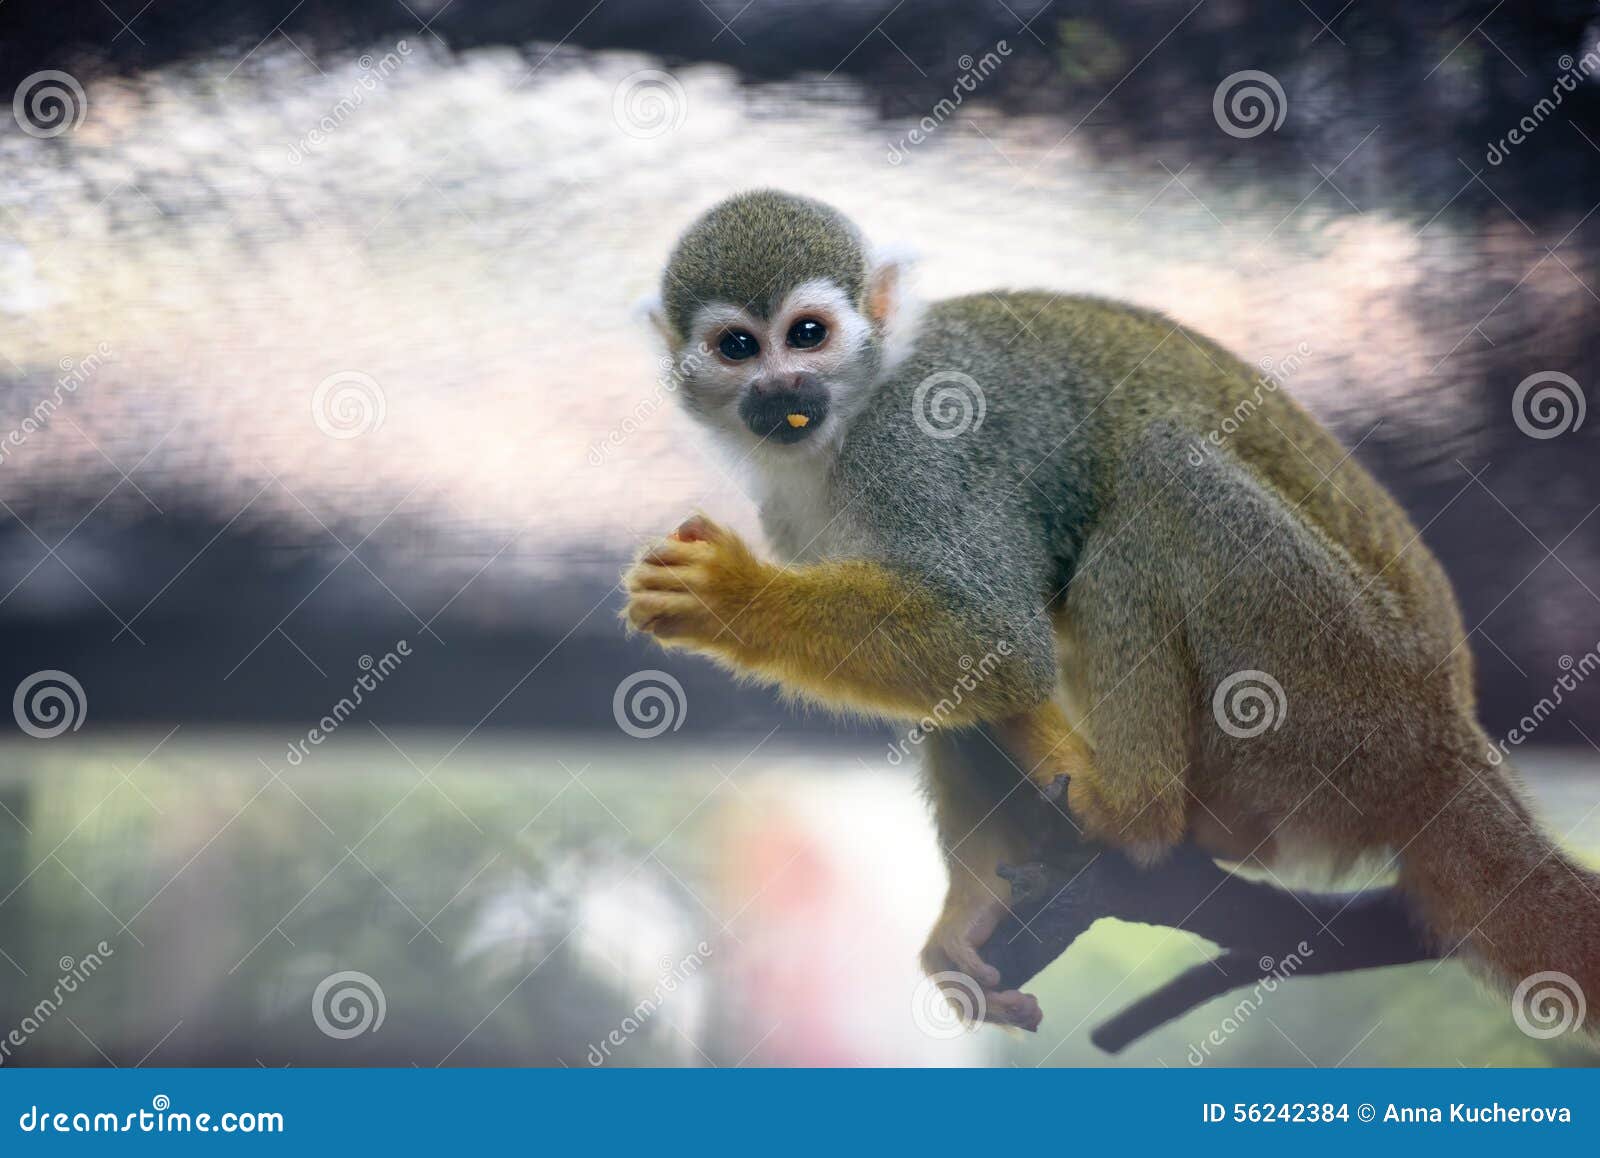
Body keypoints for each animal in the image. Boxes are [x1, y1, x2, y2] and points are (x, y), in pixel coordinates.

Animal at [622, 189, 1600, 1034]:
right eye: (739, 346)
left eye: (808, 335)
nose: (782, 390)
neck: (843, 426)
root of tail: (1449, 743)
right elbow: (976, 671)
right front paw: (974, 906)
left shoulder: (914, 450)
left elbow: (995, 637)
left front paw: (733, 597)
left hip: (1344, 695)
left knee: (1161, 471)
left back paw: (1132, 810)